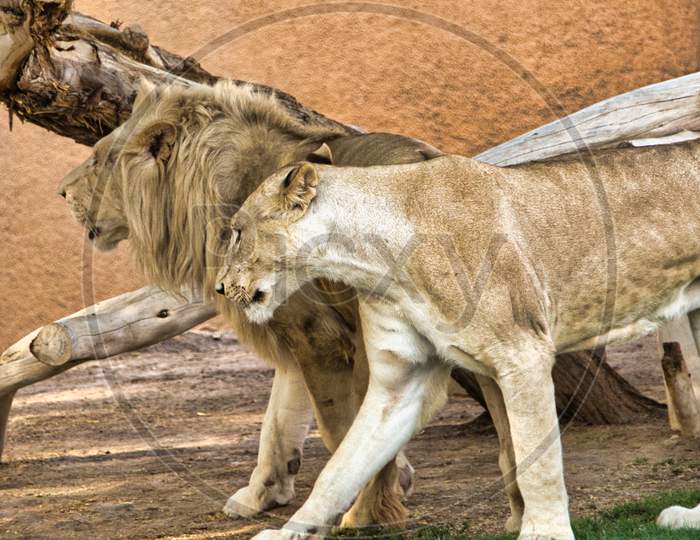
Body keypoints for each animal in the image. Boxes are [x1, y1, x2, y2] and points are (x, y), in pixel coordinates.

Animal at [58, 79, 454, 527]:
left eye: (98, 158)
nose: (61, 191)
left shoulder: (319, 334)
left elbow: (340, 427)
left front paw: (364, 511)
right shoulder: (290, 326)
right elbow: (278, 422)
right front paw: (262, 493)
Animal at [217, 142, 700, 539]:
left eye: (238, 231)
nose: (220, 288)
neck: (373, 260)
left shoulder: (523, 354)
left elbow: (536, 461)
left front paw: (544, 533)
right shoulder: (401, 382)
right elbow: (340, 469)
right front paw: (286, 533)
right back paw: (687, 517)